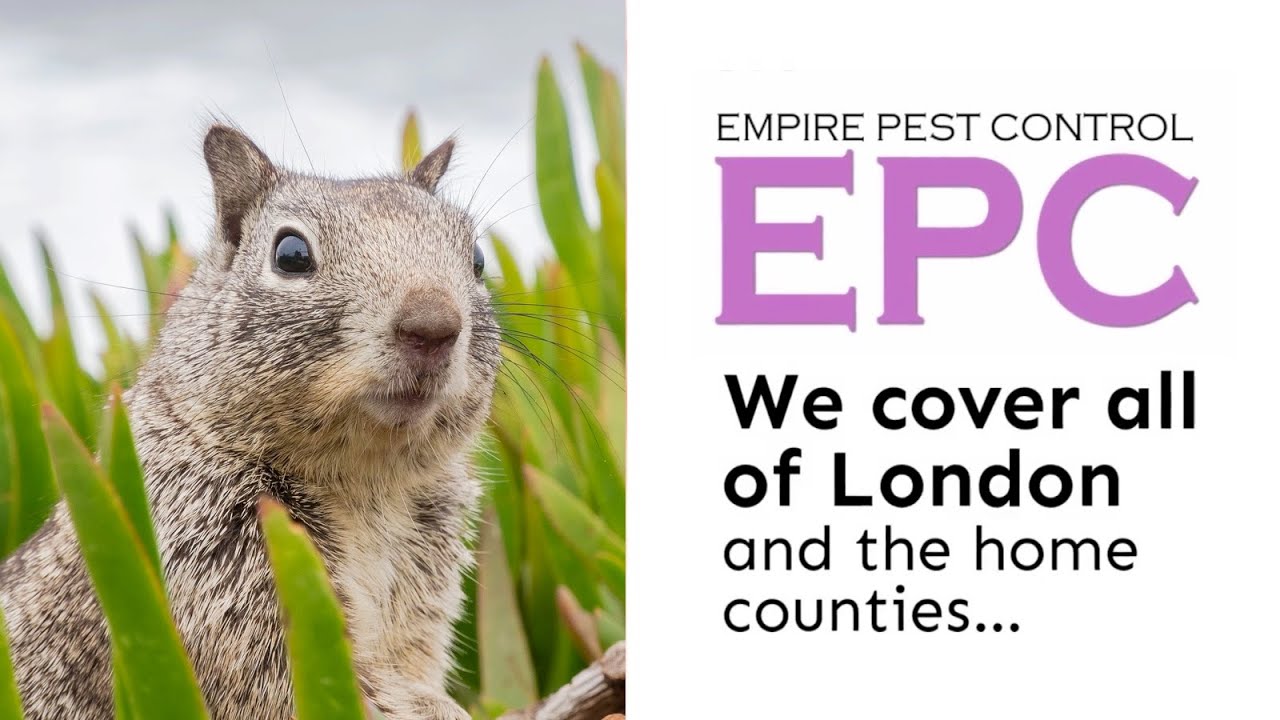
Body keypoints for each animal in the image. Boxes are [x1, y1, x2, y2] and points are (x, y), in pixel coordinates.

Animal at [0, 124, 500, 720]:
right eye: (291, 253)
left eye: (478, 258)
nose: (433, 326)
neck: (366, 480)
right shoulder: (208, 564)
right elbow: (310, 685)